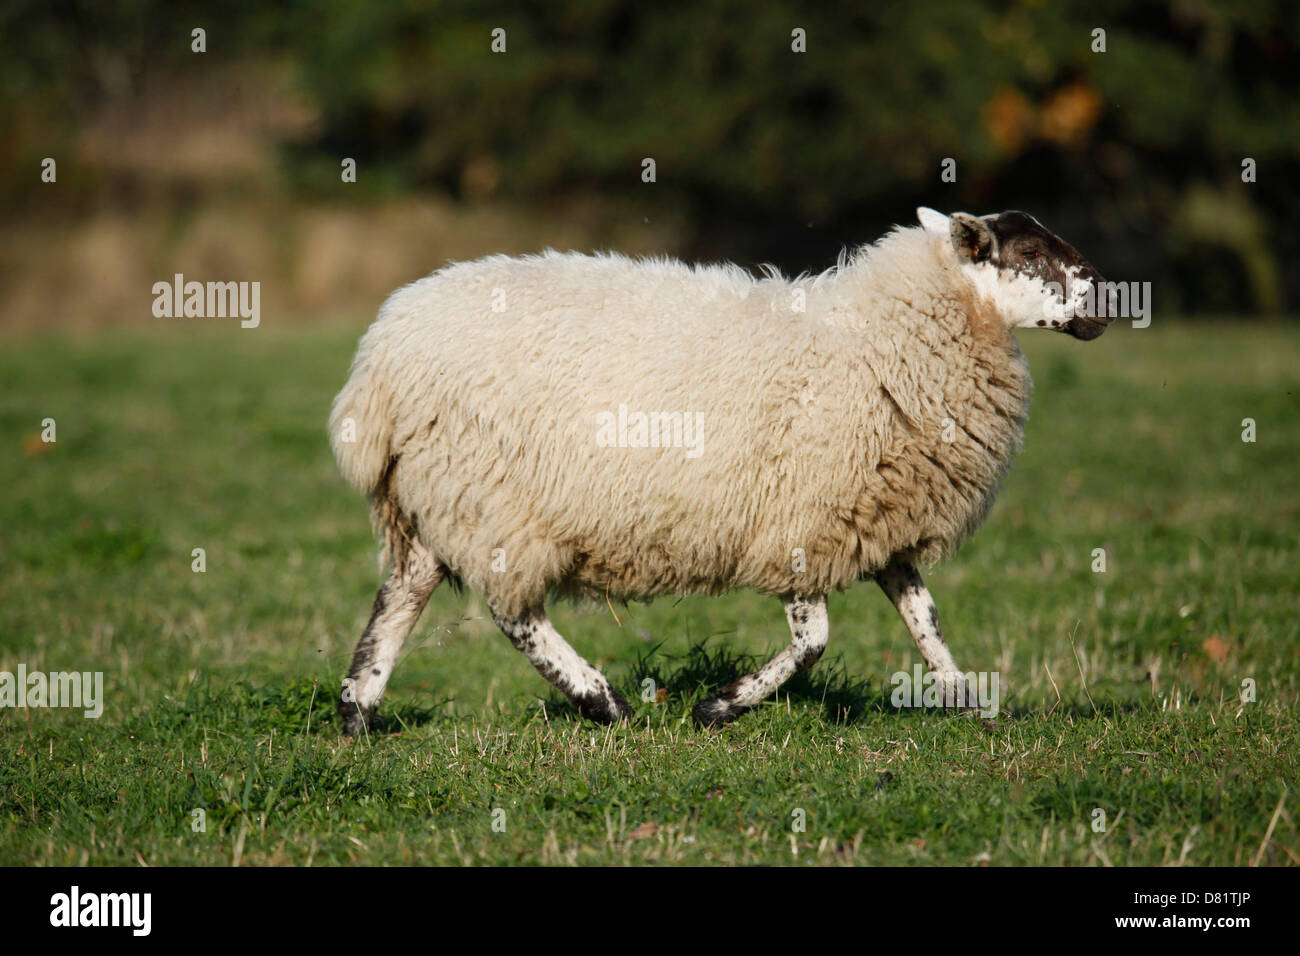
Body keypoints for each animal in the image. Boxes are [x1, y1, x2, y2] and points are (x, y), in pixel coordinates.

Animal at [329, 207, 1112, 733]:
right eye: (1032, 251)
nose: (1110, 296)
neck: (887, 334)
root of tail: (381, 356)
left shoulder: (878, 516)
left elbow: (927, 620)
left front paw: (969, 706)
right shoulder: (802, 520)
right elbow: (814, 642)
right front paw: (719, 706)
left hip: (439, 495)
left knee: (401, 597)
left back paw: (358, 713)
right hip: (494, 498)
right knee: (510, 613)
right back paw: (604, 701)